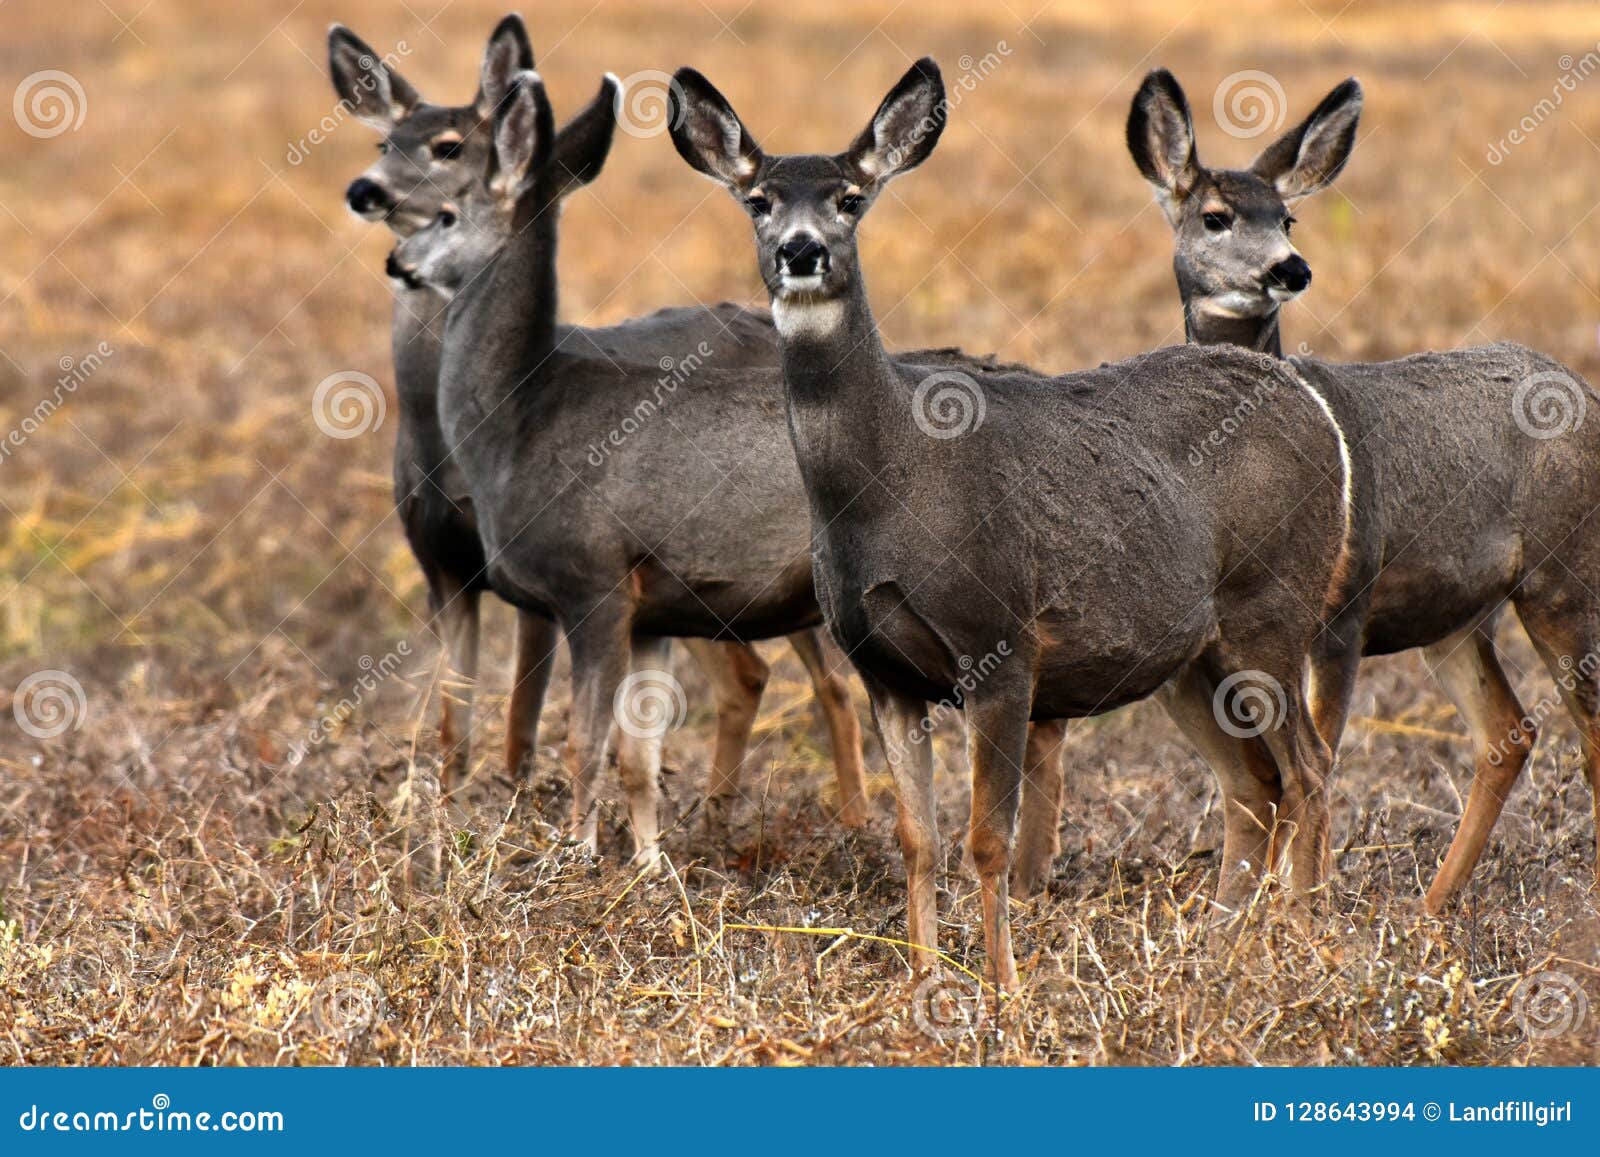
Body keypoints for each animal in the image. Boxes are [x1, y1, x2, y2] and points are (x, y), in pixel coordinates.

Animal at [328, 17, 871, 833]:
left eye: (450, 150)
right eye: (381, 142)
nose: (371, 199)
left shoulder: (573, 585)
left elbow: (542, 726)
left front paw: (535, 827)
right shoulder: (448, 570)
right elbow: (462, 723)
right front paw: (454, 819)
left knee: (826, 685)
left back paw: (849, 821)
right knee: (761, 675)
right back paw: (728, 815)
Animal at [669, 58, 1360, 986]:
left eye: (851, 197)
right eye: (758, 200)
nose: (802, 250)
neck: (891, 488)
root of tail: (1307, 399)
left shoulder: (1001, 642)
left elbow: (986, 840)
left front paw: (1001, 987)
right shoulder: (883, 669)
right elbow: (916, 838)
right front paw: (924, 980)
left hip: (1273, 608)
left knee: (1312, 767)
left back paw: (1303, 940)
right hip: (1188, 652)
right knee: (1256, 783)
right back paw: (1221, 947)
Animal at [1127, 69, 1600, 911]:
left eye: (1287, 215)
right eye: (1214, 216)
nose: (1290, 268)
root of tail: (1588, 392)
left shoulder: (1342, 613)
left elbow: (1313, 759)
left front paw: (1298, 909)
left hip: (1562, 574)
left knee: (1586, 730)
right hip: (1456, 617)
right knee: (1508, 732)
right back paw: (1431, 906)